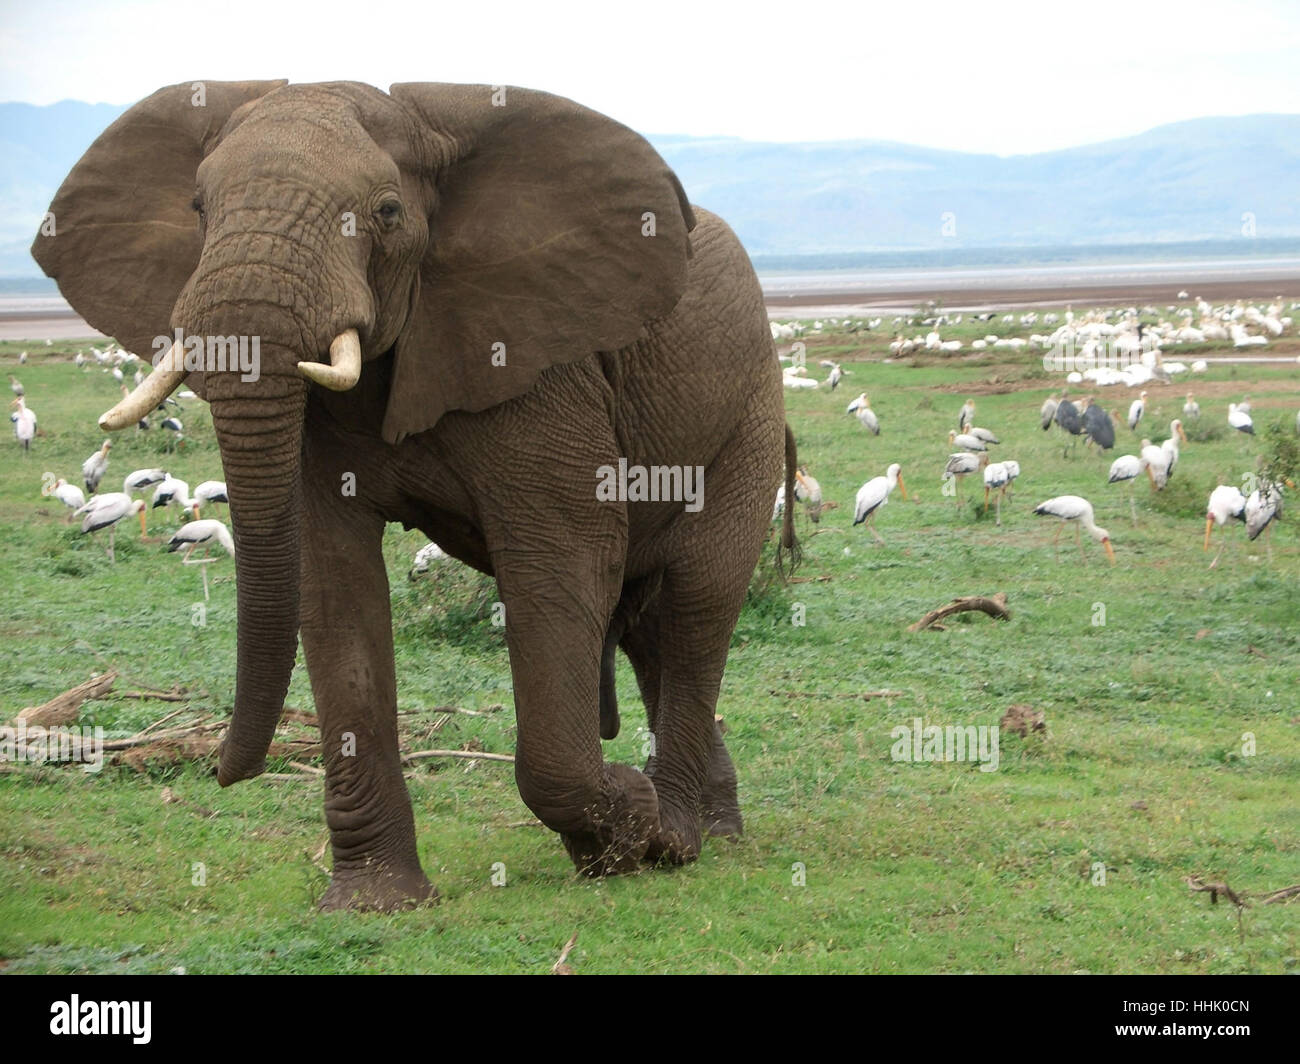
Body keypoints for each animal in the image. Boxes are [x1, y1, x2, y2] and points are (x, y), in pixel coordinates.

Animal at [33, 80, 797, 912]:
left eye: (388, 212)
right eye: (199, 207)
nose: (223, 770)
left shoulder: (541, 363)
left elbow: (563, 562)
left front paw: (627, 827)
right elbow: (332, 583)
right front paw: (376, 902)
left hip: (750, 409)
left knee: (698, 598)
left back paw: (680, 836)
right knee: (650, 629)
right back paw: (715, 829)